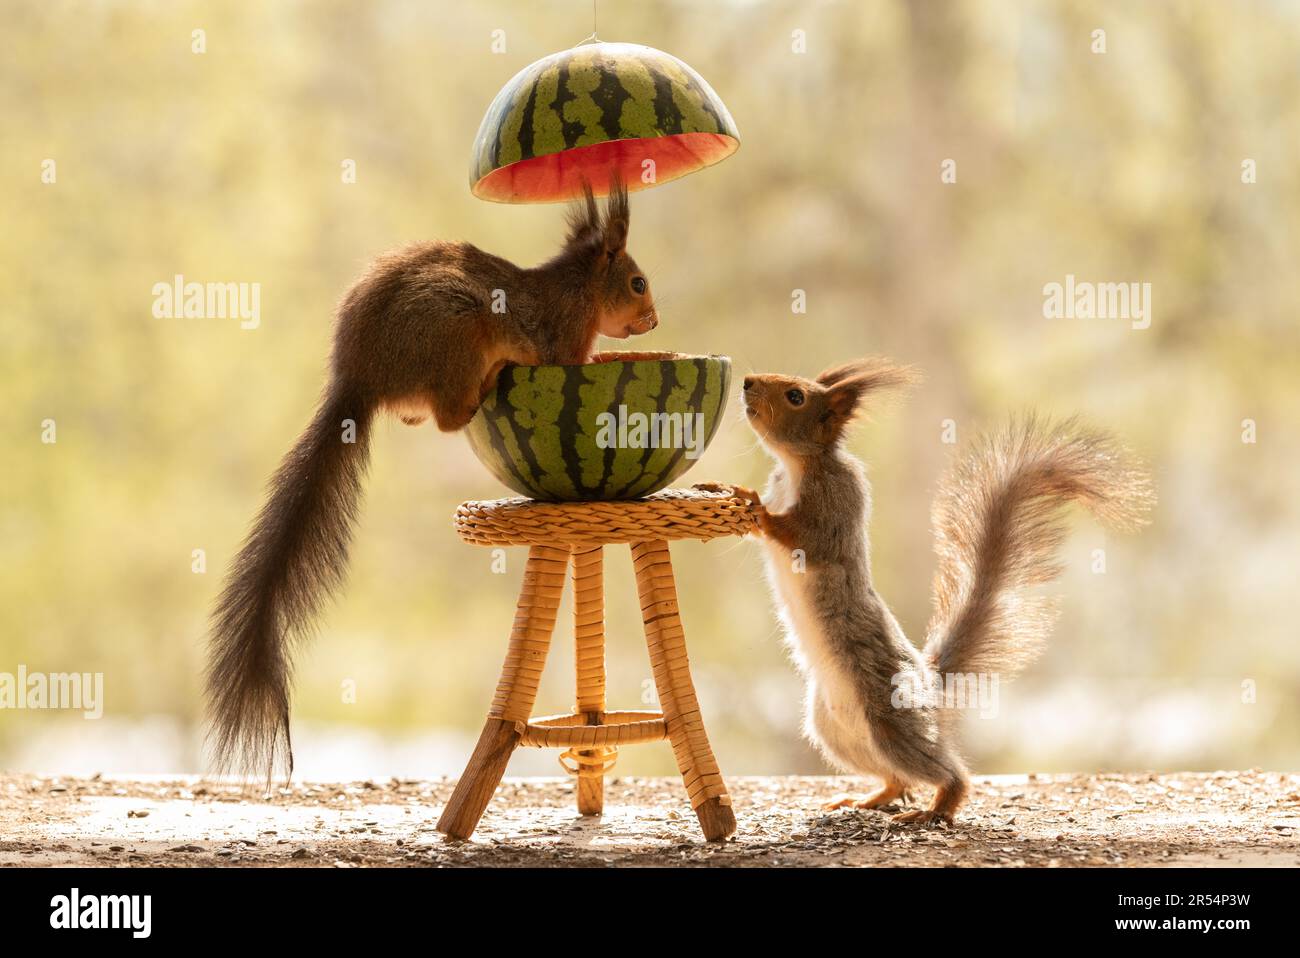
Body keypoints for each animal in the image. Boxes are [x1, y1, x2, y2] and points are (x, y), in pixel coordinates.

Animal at [206, 175, 658, 781]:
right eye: (637, 283)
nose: (654, 321)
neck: (576, 288)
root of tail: (362, 377)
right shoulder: (561, 340)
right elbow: (572, 367)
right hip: (458, 332)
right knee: (449, 417)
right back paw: (488, 381)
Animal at [706, 357, 1154, 824]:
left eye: (796, 396)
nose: (748, 382)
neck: (798, 465)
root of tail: (928, 682)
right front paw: (726, 491)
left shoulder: (834, 506)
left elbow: (804, 539)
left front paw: (755, 505)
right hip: (834, 731)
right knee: (897, 779)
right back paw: (867, 799)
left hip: (890, 720)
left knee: (941, 770)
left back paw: (938, 806)